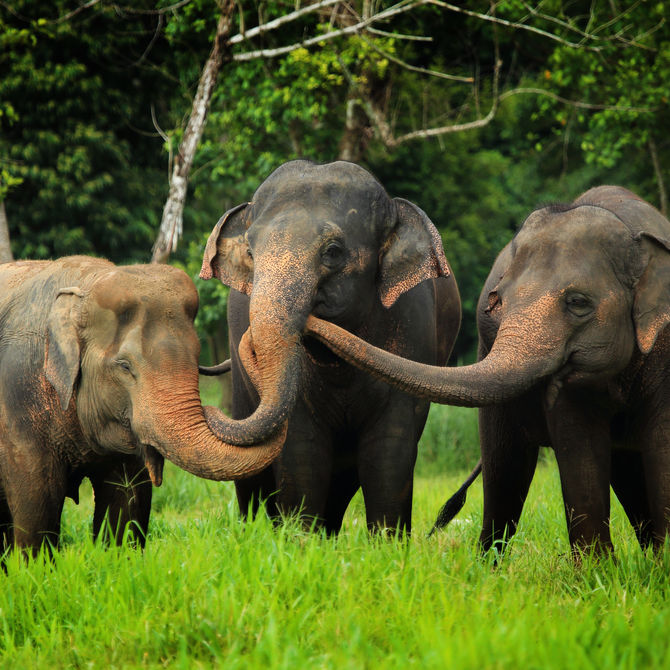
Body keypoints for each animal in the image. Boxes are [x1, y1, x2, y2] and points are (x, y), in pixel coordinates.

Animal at [0, 256, 288, 554]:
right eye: (125, 366)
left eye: (197, 357)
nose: (211, 410)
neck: (86, 281)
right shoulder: (18, 396)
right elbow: (37, 509)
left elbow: (127, 505)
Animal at [199, 159, 461, 534]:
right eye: (250, 253)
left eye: (333, 252)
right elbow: (301, 450)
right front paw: (298, 540)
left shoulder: (413, 331)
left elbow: (390, 450)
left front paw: (389, 543)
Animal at [307, 185, 670, 554]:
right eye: (498, 302)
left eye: (578, 302)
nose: (310, 316)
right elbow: (579, 449)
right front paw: (599, 569)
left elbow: (660, 445)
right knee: (505, 470)